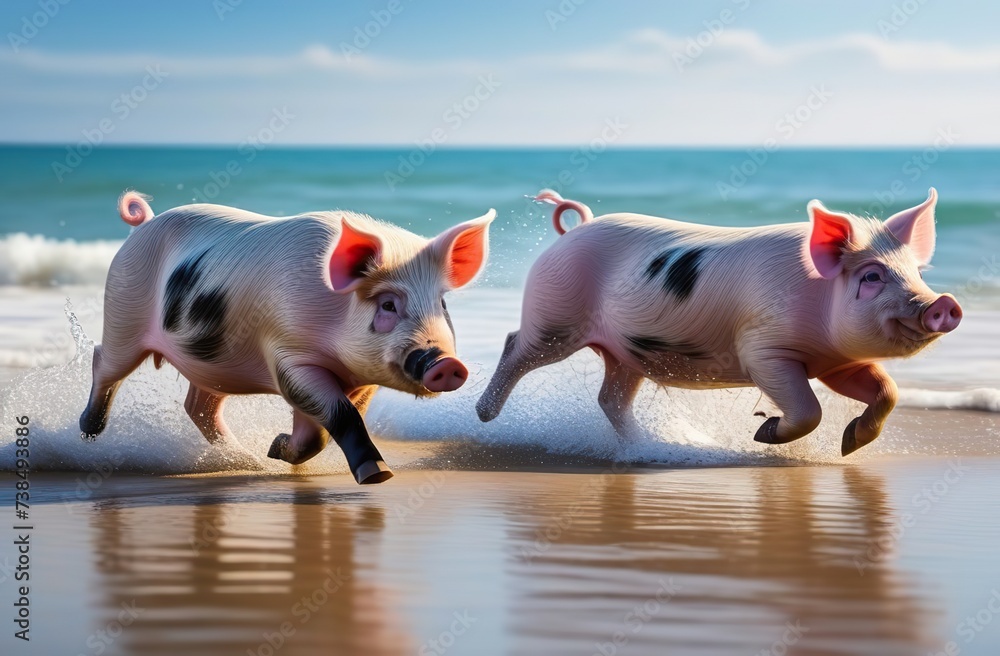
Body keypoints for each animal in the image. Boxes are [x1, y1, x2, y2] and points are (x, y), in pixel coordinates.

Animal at [81, 191, 494, 483]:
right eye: (388, 305)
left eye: (441, 303)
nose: (446, 364)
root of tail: (144, 223)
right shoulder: (290, 357)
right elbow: (340, 416)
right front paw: (378, 475)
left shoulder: (361, 379)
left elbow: (321, 430)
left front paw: (277, 451)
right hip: (123, 313)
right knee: (105, 362)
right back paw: (88, 431)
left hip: (211, 364)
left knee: (199, 405)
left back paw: (247, 462)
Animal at [477, 188, 961, 456]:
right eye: (872, 277)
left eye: (917, 272)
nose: (942, 303)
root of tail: (577, 229)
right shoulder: (764, 350)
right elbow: (808, 408)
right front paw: (764, 432)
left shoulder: (837, 362)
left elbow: (887, 391)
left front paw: (849, 445)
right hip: (554, 316)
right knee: (515, 343)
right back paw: (485, 415)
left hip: (624, 353)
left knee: (610, 398)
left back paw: (649, 447)